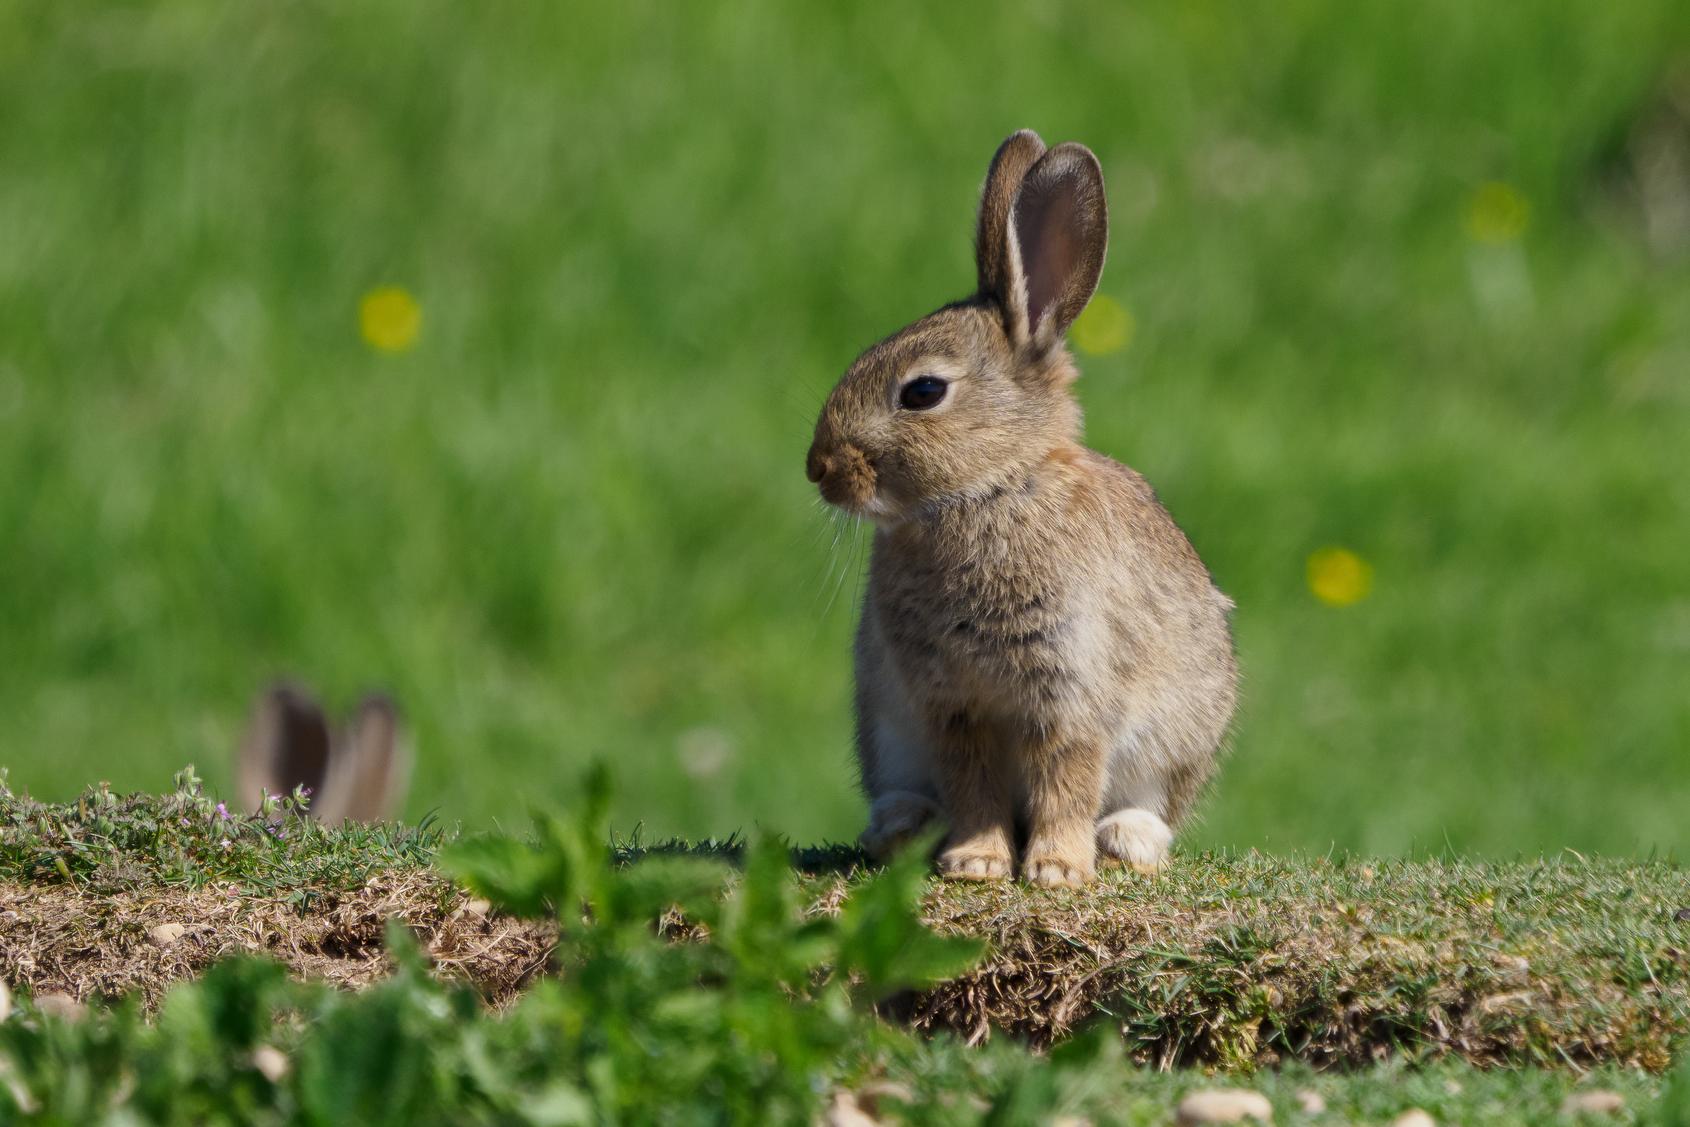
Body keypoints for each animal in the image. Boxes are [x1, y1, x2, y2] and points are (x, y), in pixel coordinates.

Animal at [805, 130, 1237, 887]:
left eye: (922, 392)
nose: (819, 468)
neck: (991, 489)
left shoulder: (1072, 686)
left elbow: (1068, 774)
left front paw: (1057, 869)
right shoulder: (952, 702)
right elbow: (972, 781)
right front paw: (977, 861)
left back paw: (1126, 838)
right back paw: (904, 824)